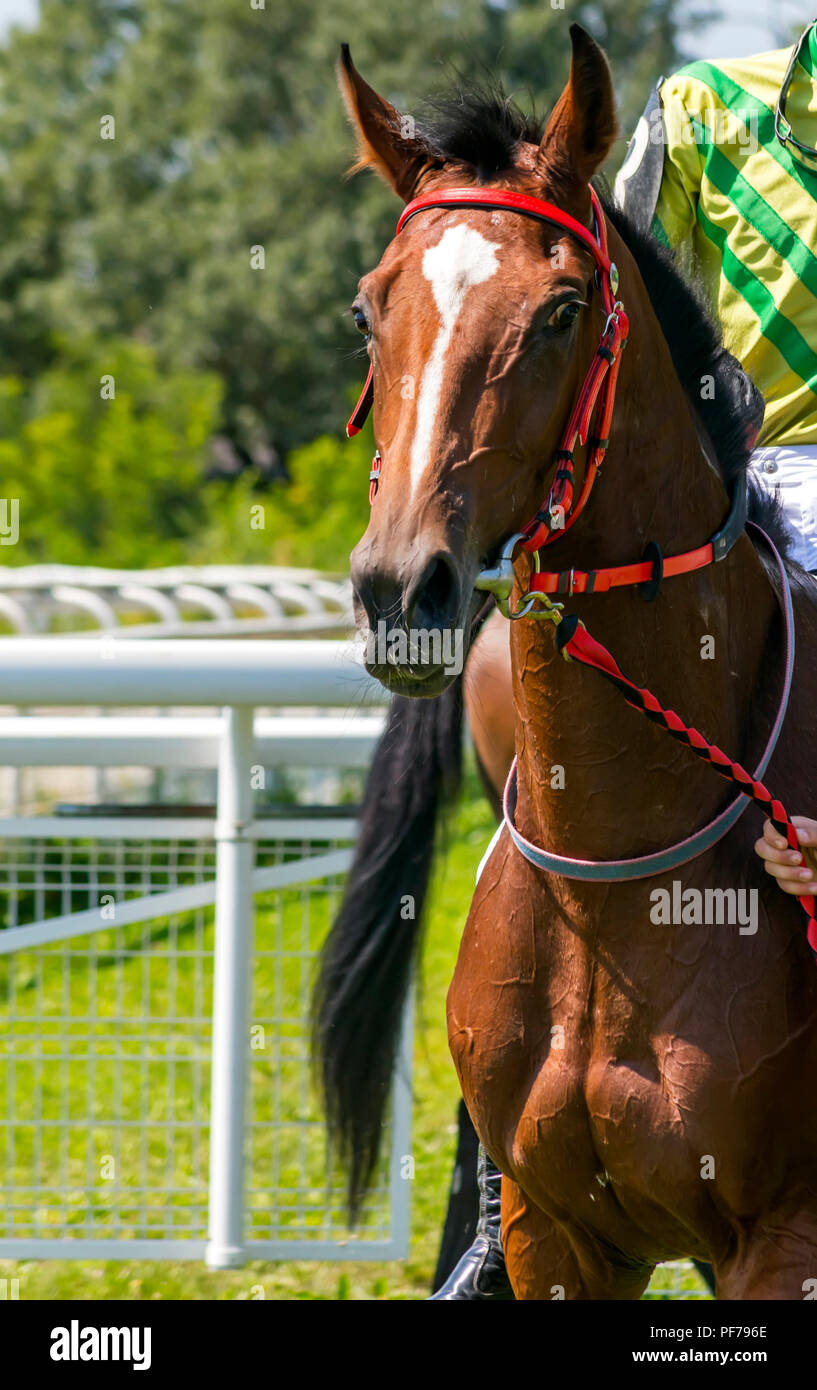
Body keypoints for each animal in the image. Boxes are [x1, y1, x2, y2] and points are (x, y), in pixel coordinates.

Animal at [314, 24, 817, 1298]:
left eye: (559, 310)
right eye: (367, 309)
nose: (402, 589)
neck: (618, 883)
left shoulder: (785, 1234)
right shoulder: (560, 1230)